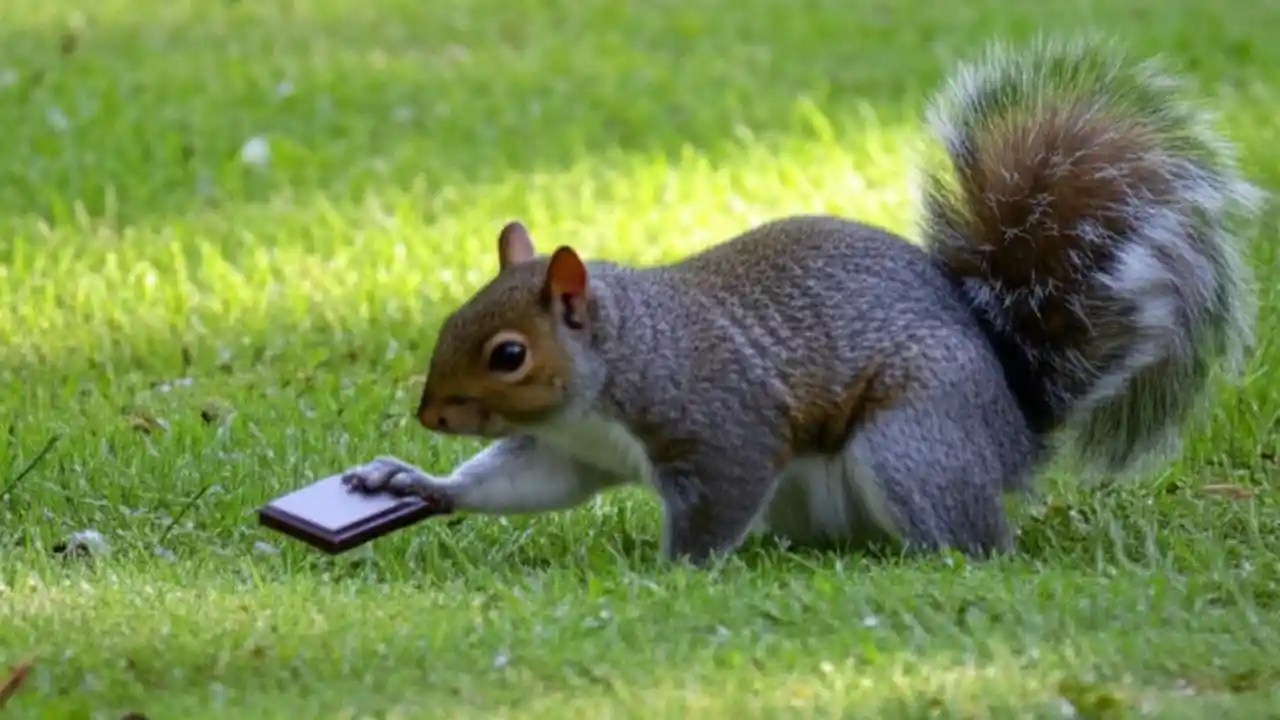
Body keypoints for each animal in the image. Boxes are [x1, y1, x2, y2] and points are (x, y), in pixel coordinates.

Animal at [342, 38, 1262, 565]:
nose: (429, 415)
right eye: (450, 321)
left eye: (509, 355)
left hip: (913, 440)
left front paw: (673, 577)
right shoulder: (574, 449)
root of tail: (1016, 433)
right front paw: (413, 483)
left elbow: (715, 501)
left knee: (977, 538)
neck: (620, 357)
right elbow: (521, 483)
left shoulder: (721, 424)